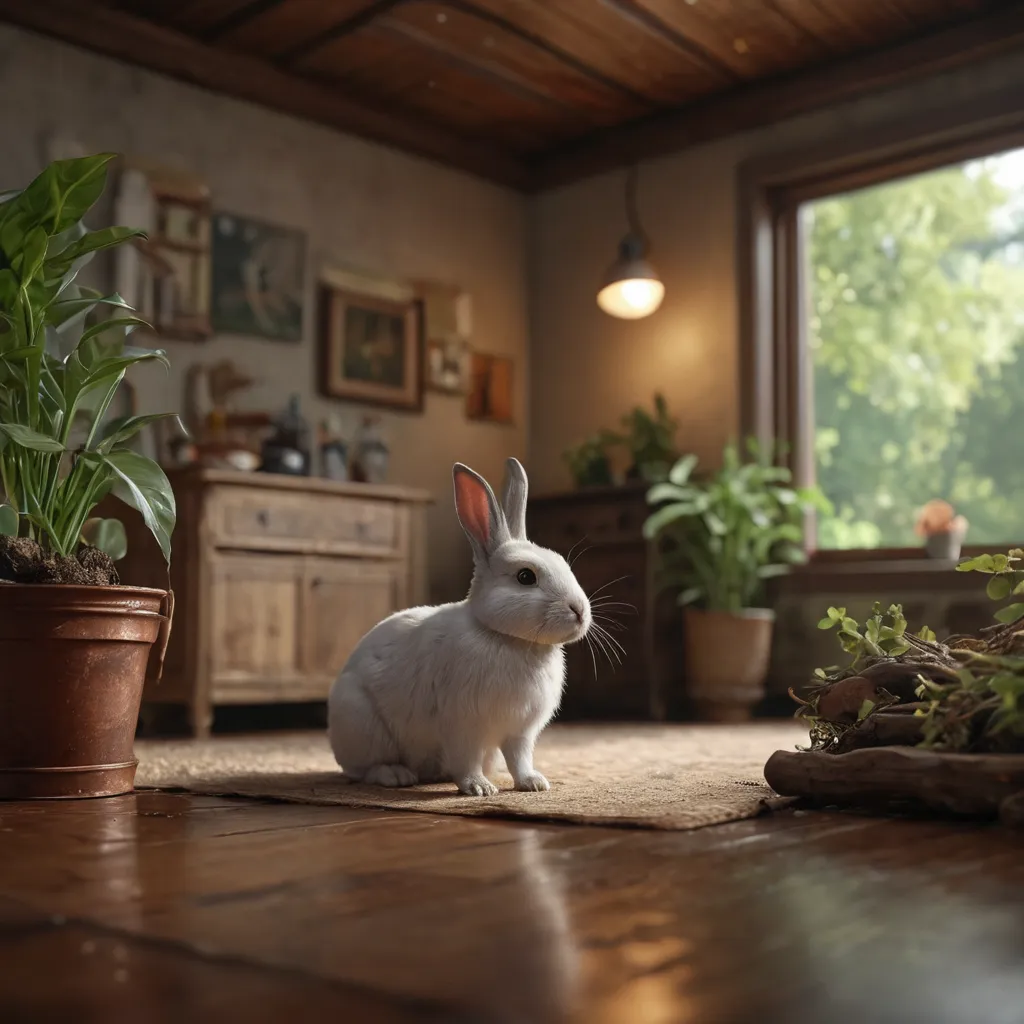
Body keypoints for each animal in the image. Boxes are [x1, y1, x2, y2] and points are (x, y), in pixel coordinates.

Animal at [327, 457, 592, 796]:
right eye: (525, 577)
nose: (579, 611)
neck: (507, 638)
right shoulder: (463, 725)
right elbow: (466, 759)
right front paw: (479, 788)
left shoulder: (520, 732)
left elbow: (519, 759)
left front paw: (533, 784)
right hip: (362, 724)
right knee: (363, 769)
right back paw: (396, 776)